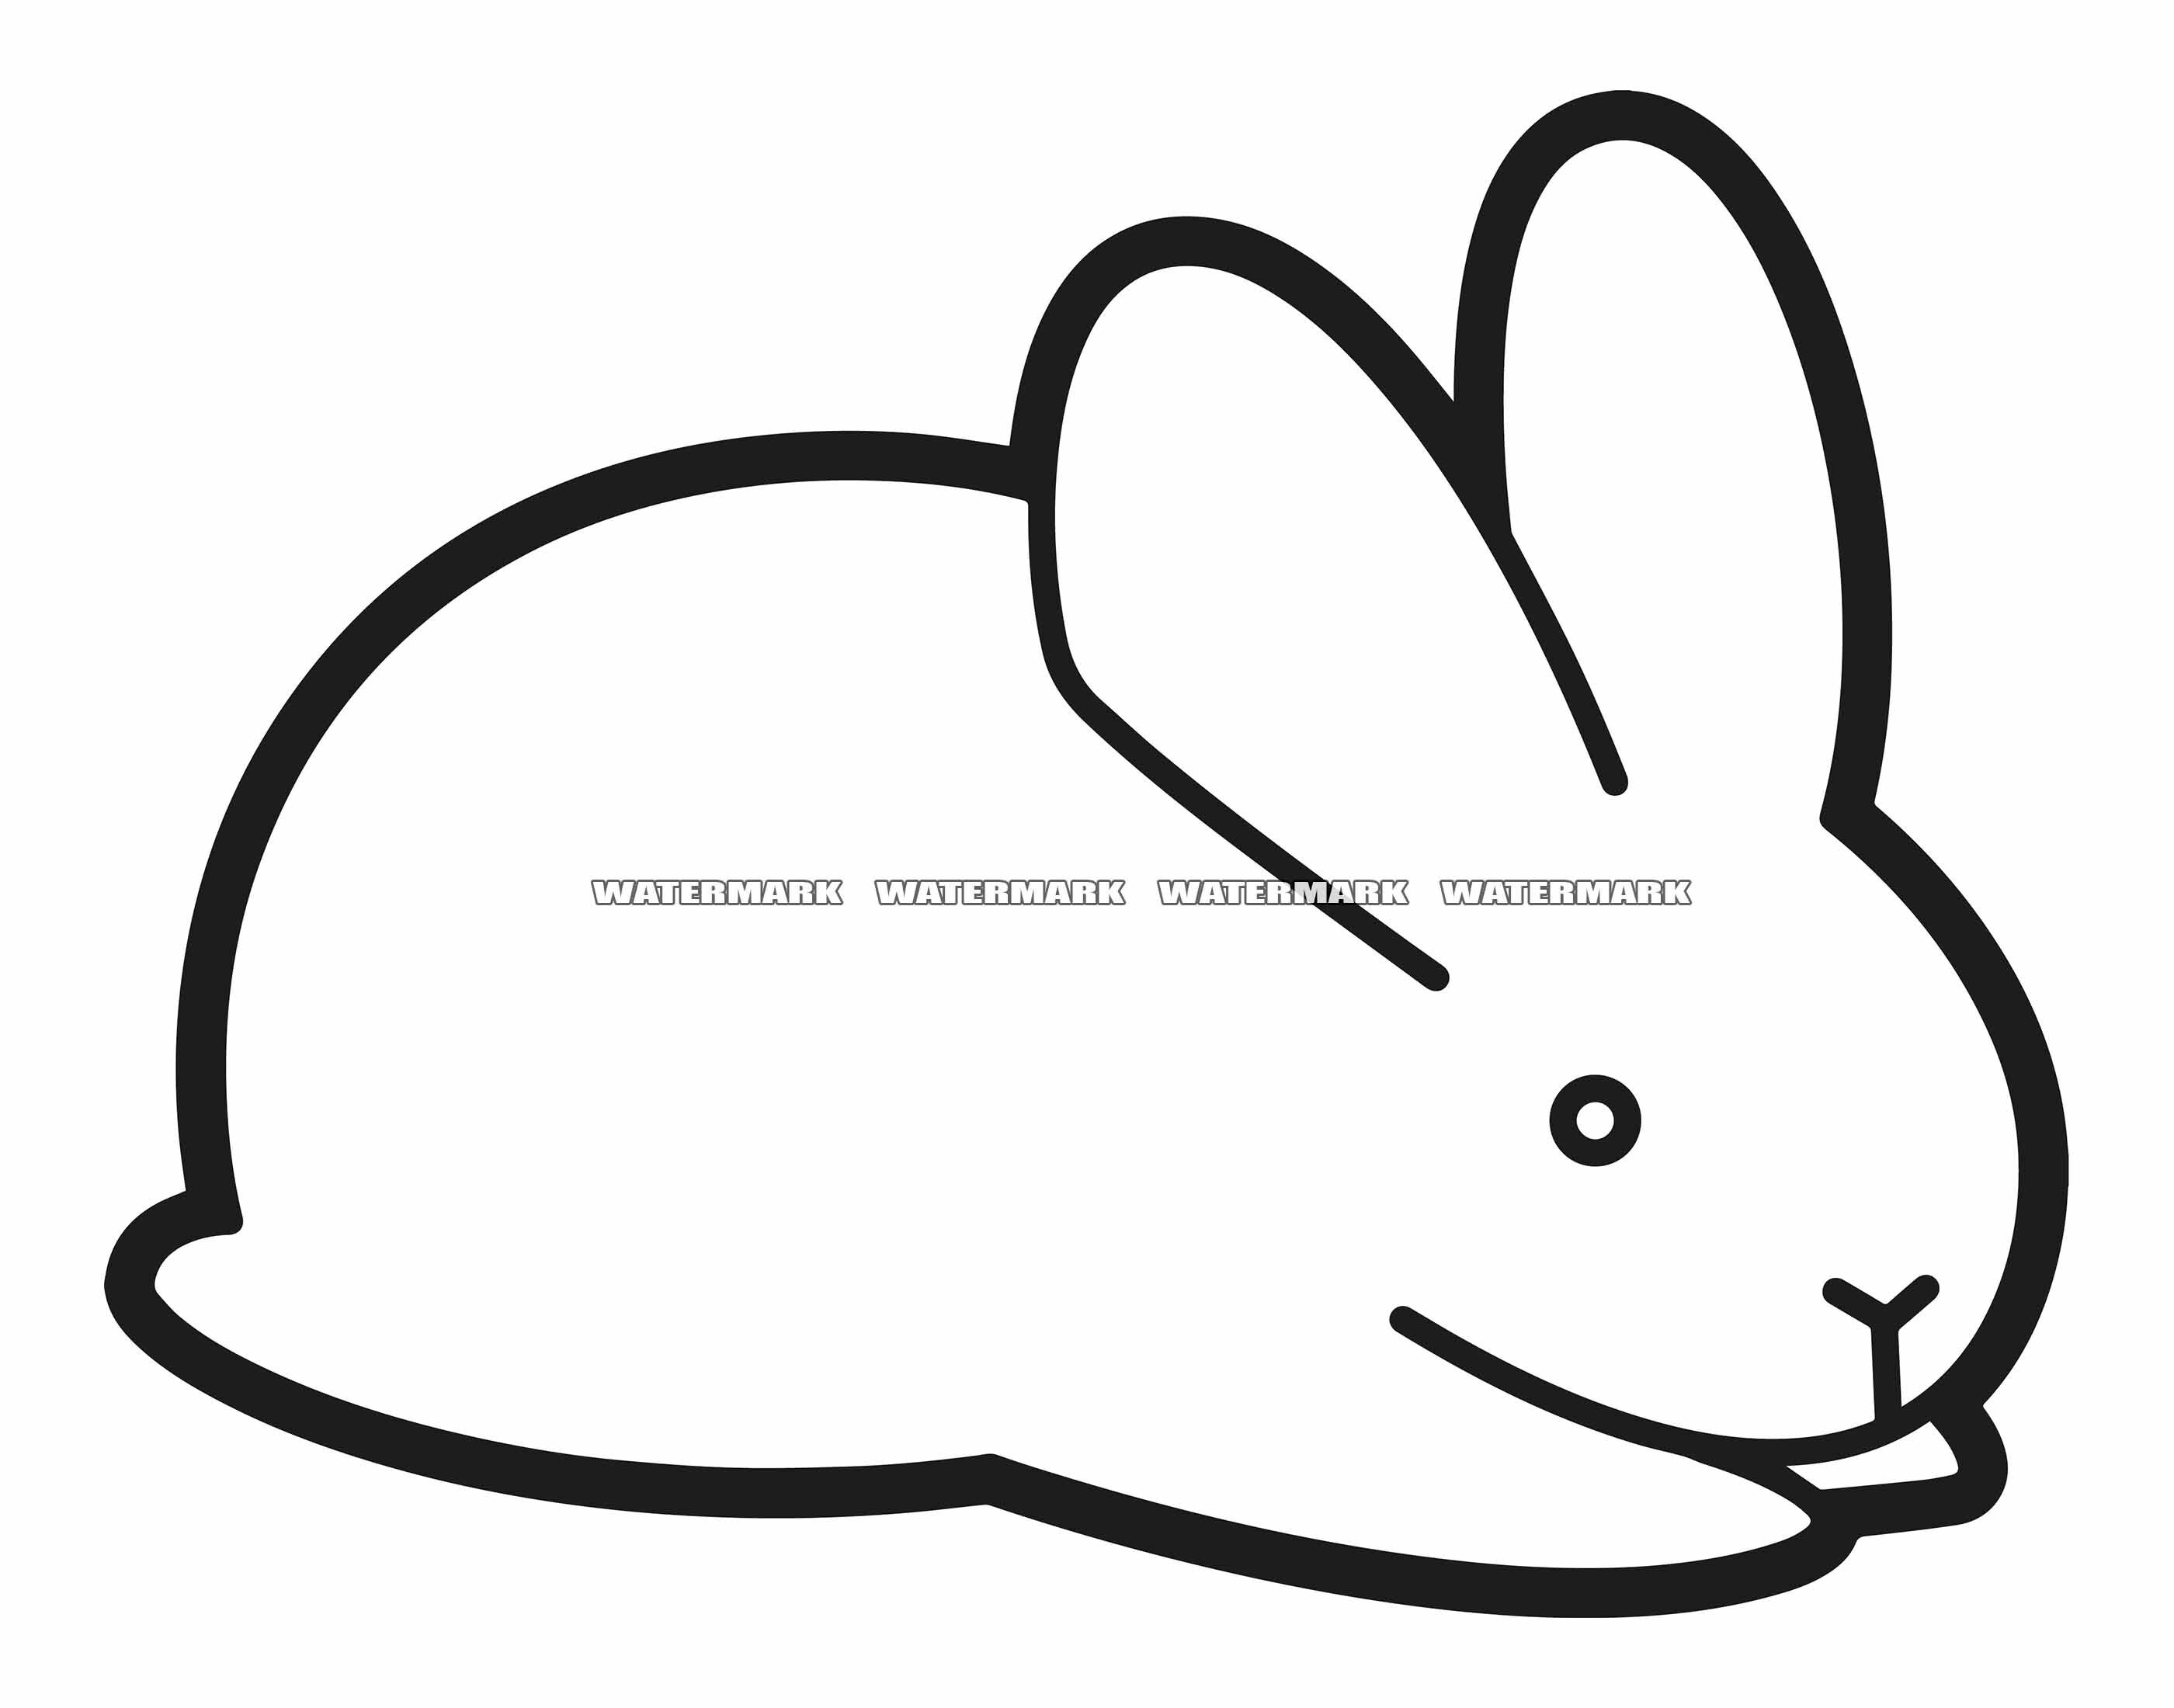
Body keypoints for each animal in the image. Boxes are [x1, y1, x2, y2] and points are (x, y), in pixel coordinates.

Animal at [108, 90, 2065, 1616]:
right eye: (1595, 1122)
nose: (1890, 1303)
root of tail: (246, 1199)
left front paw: (1908, 1454)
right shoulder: (1212, 1368)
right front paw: (1709, 1517)